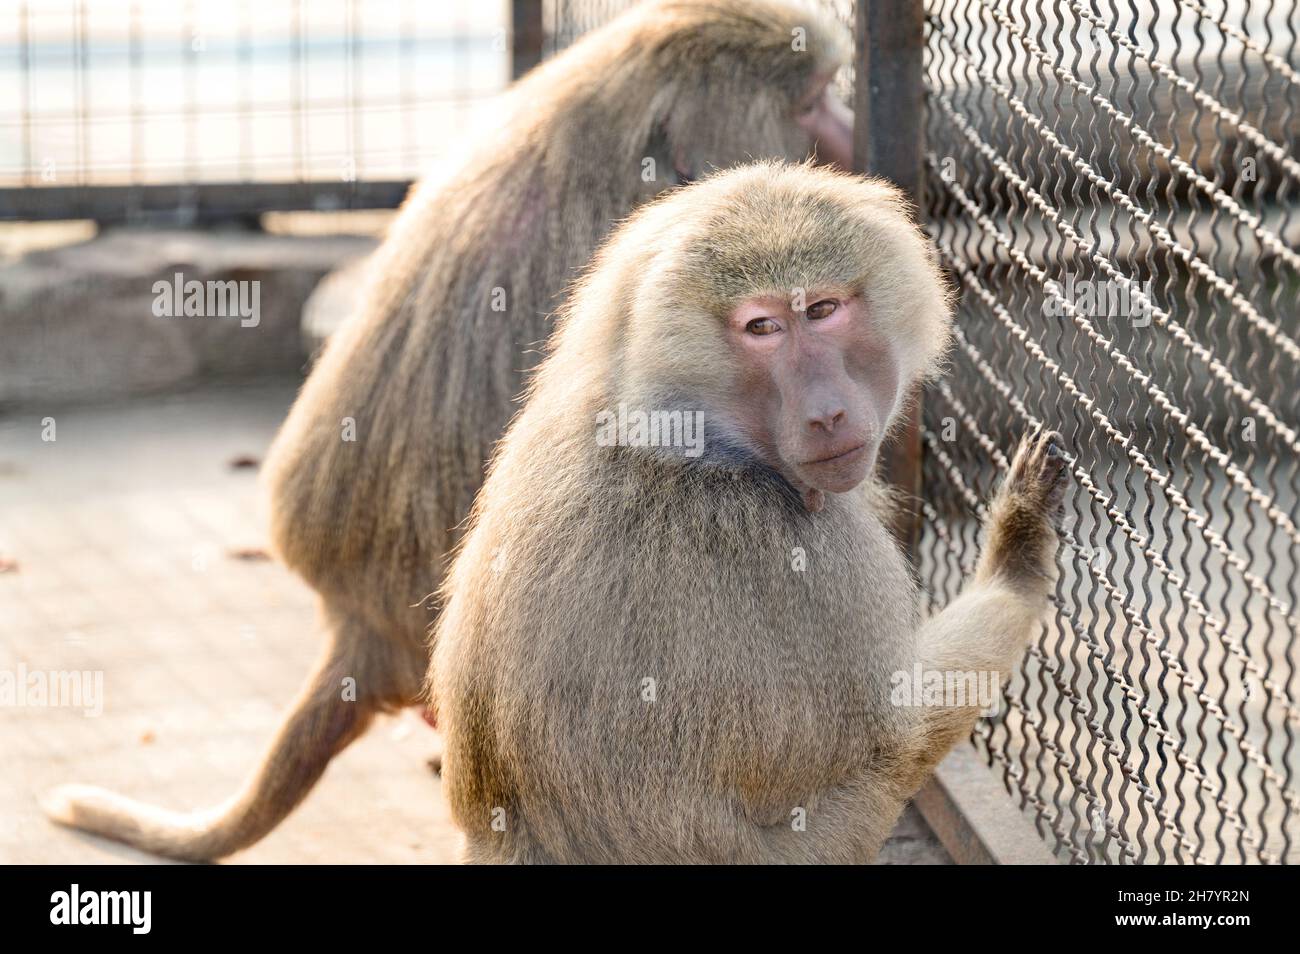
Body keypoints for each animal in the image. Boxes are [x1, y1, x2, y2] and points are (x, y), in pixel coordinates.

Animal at [428, 161, 1068, 864]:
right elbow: (903, 723)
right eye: (762, 327)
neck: (684, 432)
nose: (827, 415)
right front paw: (1018, 552)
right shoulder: (813, 548)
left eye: (822, 310)